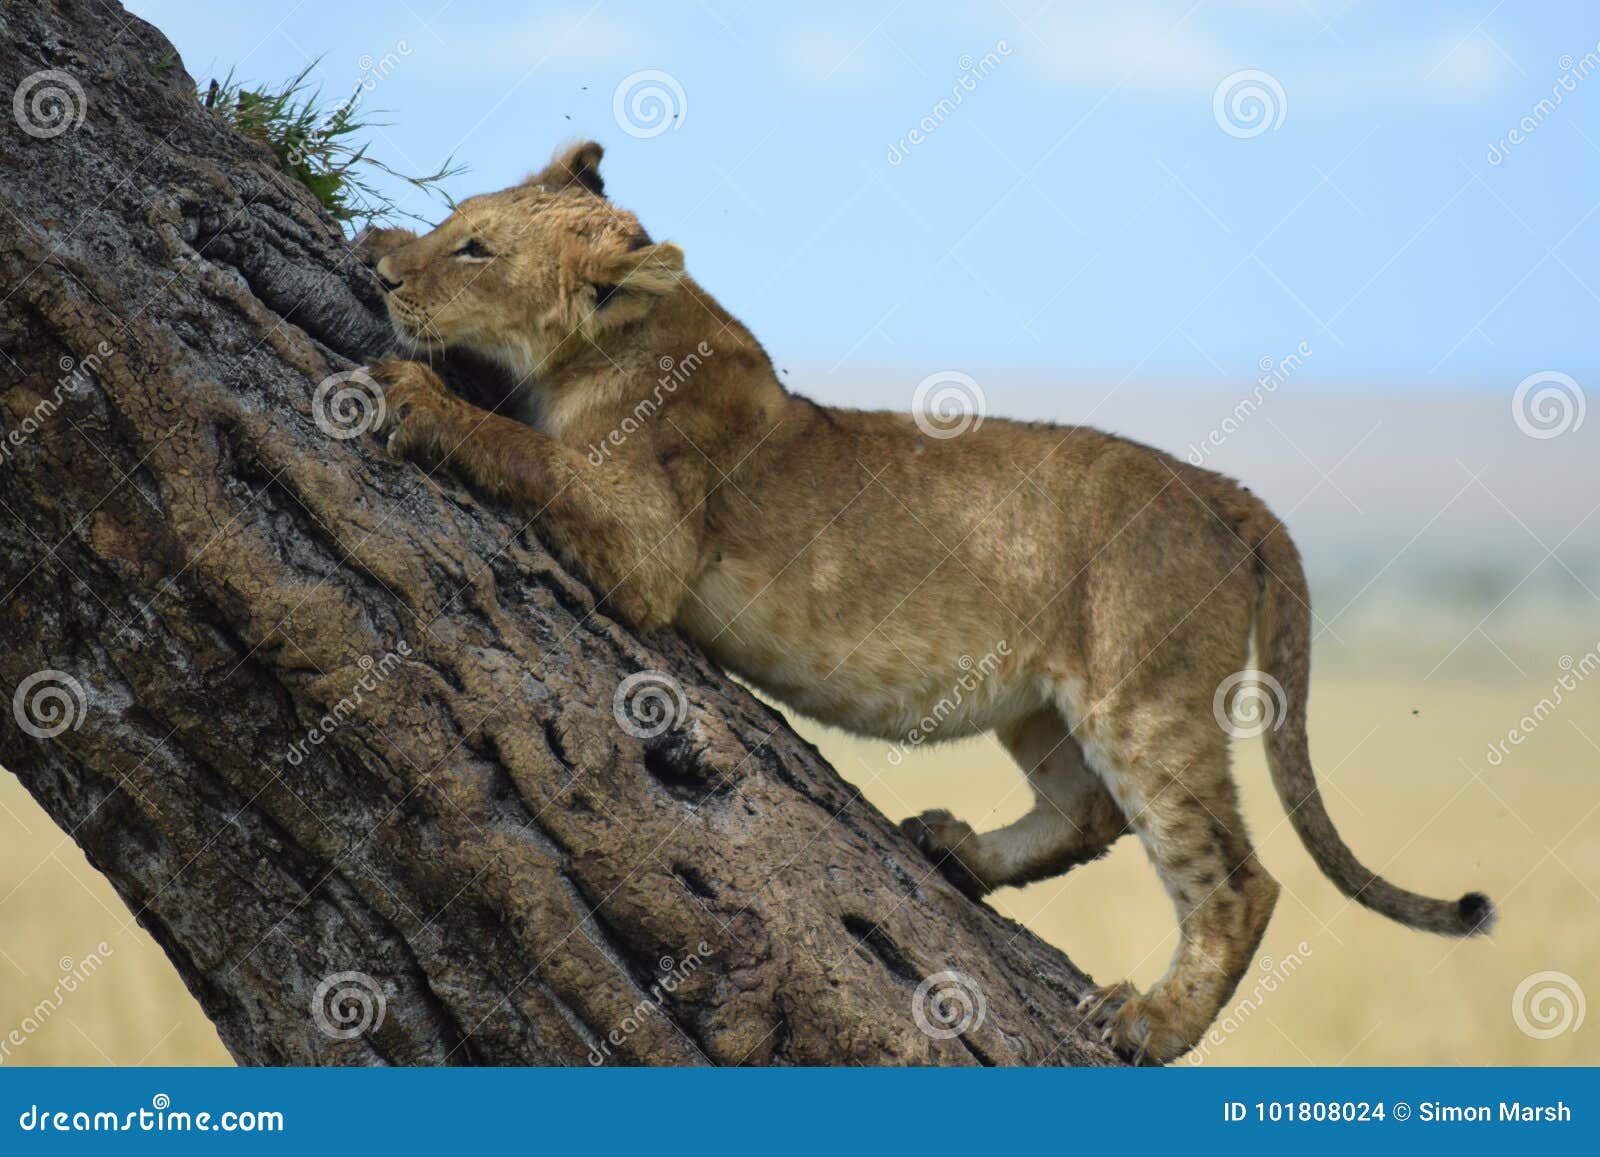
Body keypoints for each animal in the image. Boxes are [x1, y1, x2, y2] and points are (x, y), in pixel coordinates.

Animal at [356, 141, 1493, 1064]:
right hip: (1046, 697)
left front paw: (415, 394)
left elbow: (523, 453)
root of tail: (1218, 485)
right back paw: (956, 848)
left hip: (1143, 694)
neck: (629, 337)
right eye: (452, 219)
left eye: (476, 249)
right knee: (1085, 809)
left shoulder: (650, 551)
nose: (381, 270)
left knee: (1232, 876)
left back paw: (1148, 1021)